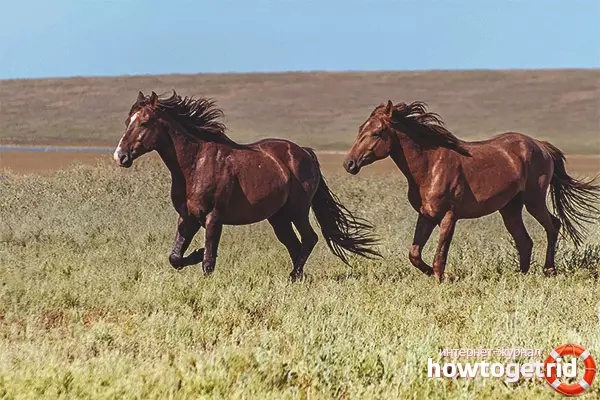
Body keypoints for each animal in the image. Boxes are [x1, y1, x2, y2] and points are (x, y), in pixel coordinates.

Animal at [113, 90, 380, 280]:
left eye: (144, 123)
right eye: (127, 121)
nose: (120, 156)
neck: (194, 164)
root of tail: (304, 152)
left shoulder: (213, 218)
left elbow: (209, 260)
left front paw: (202, 259)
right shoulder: (187, 218)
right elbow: (175, 257)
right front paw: (195, 254)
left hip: (297, 211)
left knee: (309, 239)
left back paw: (294, 276)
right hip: (278, 218)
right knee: (295, 245)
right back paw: (297, 277)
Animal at [344, 100, 596, 282]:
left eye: (376, 133)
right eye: (359, 129)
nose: (349, 163)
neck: (430, 165)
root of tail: (540, 145)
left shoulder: (449, 216)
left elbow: (440, 255)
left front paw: (441, 278)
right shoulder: (426, 215)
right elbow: (414, 254)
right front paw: (430, 273)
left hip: (533, 201)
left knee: (552, 226)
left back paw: (549, 270)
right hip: (510, 208)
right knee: (525, 241)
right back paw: (521, 276)